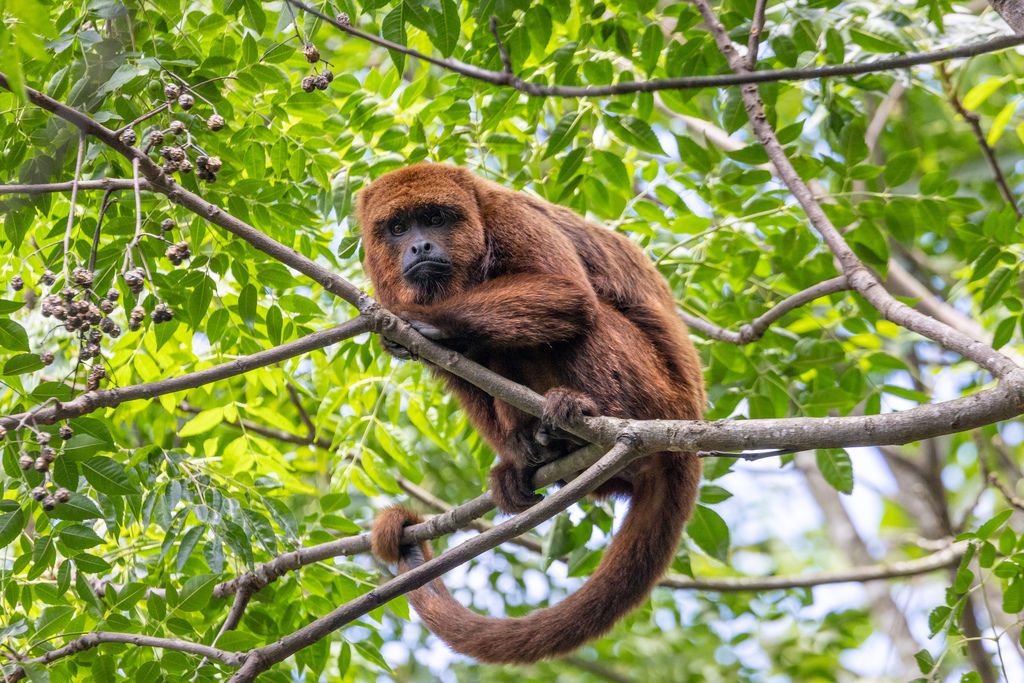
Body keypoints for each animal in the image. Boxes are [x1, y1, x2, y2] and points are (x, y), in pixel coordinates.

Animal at [359, 163, 705, 665]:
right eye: (398, 228)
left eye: (436, 218)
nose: (420, 246)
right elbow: (459, 373)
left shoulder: (509, 216)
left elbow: (567, 293)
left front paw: (424, 321)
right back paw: (536, 451)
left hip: (658, 397)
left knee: (586, 318)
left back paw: (581, 413)